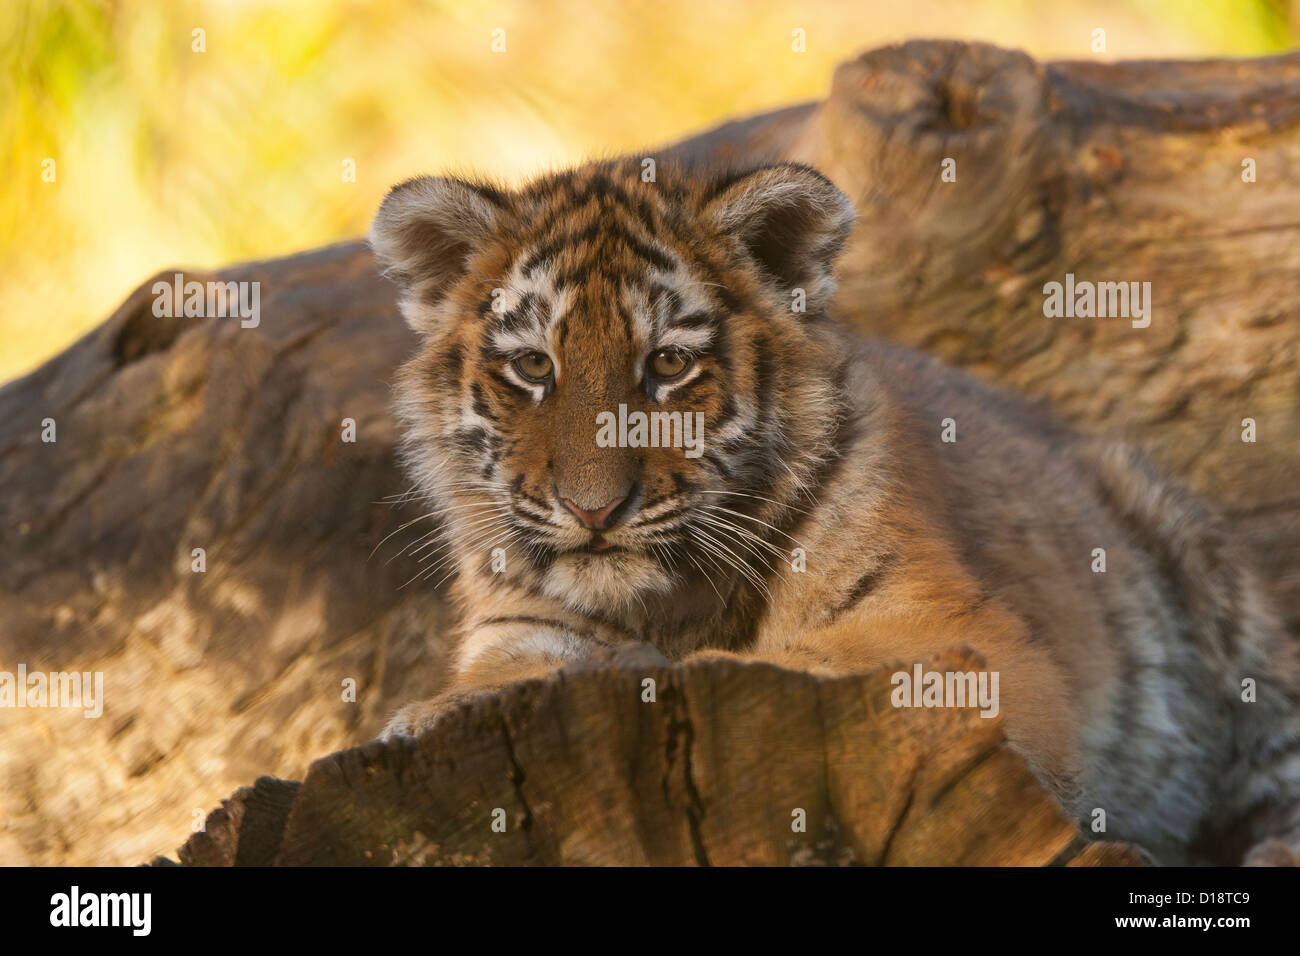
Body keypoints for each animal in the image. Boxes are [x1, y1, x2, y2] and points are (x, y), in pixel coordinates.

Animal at [368, 157, 1300, 865]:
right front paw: (417, 720)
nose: (593, 509)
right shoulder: (517, 628)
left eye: (667, 365)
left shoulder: (958, 630)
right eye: (533, 367)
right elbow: (491, 684)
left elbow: (796, 661)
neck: (671, 601)